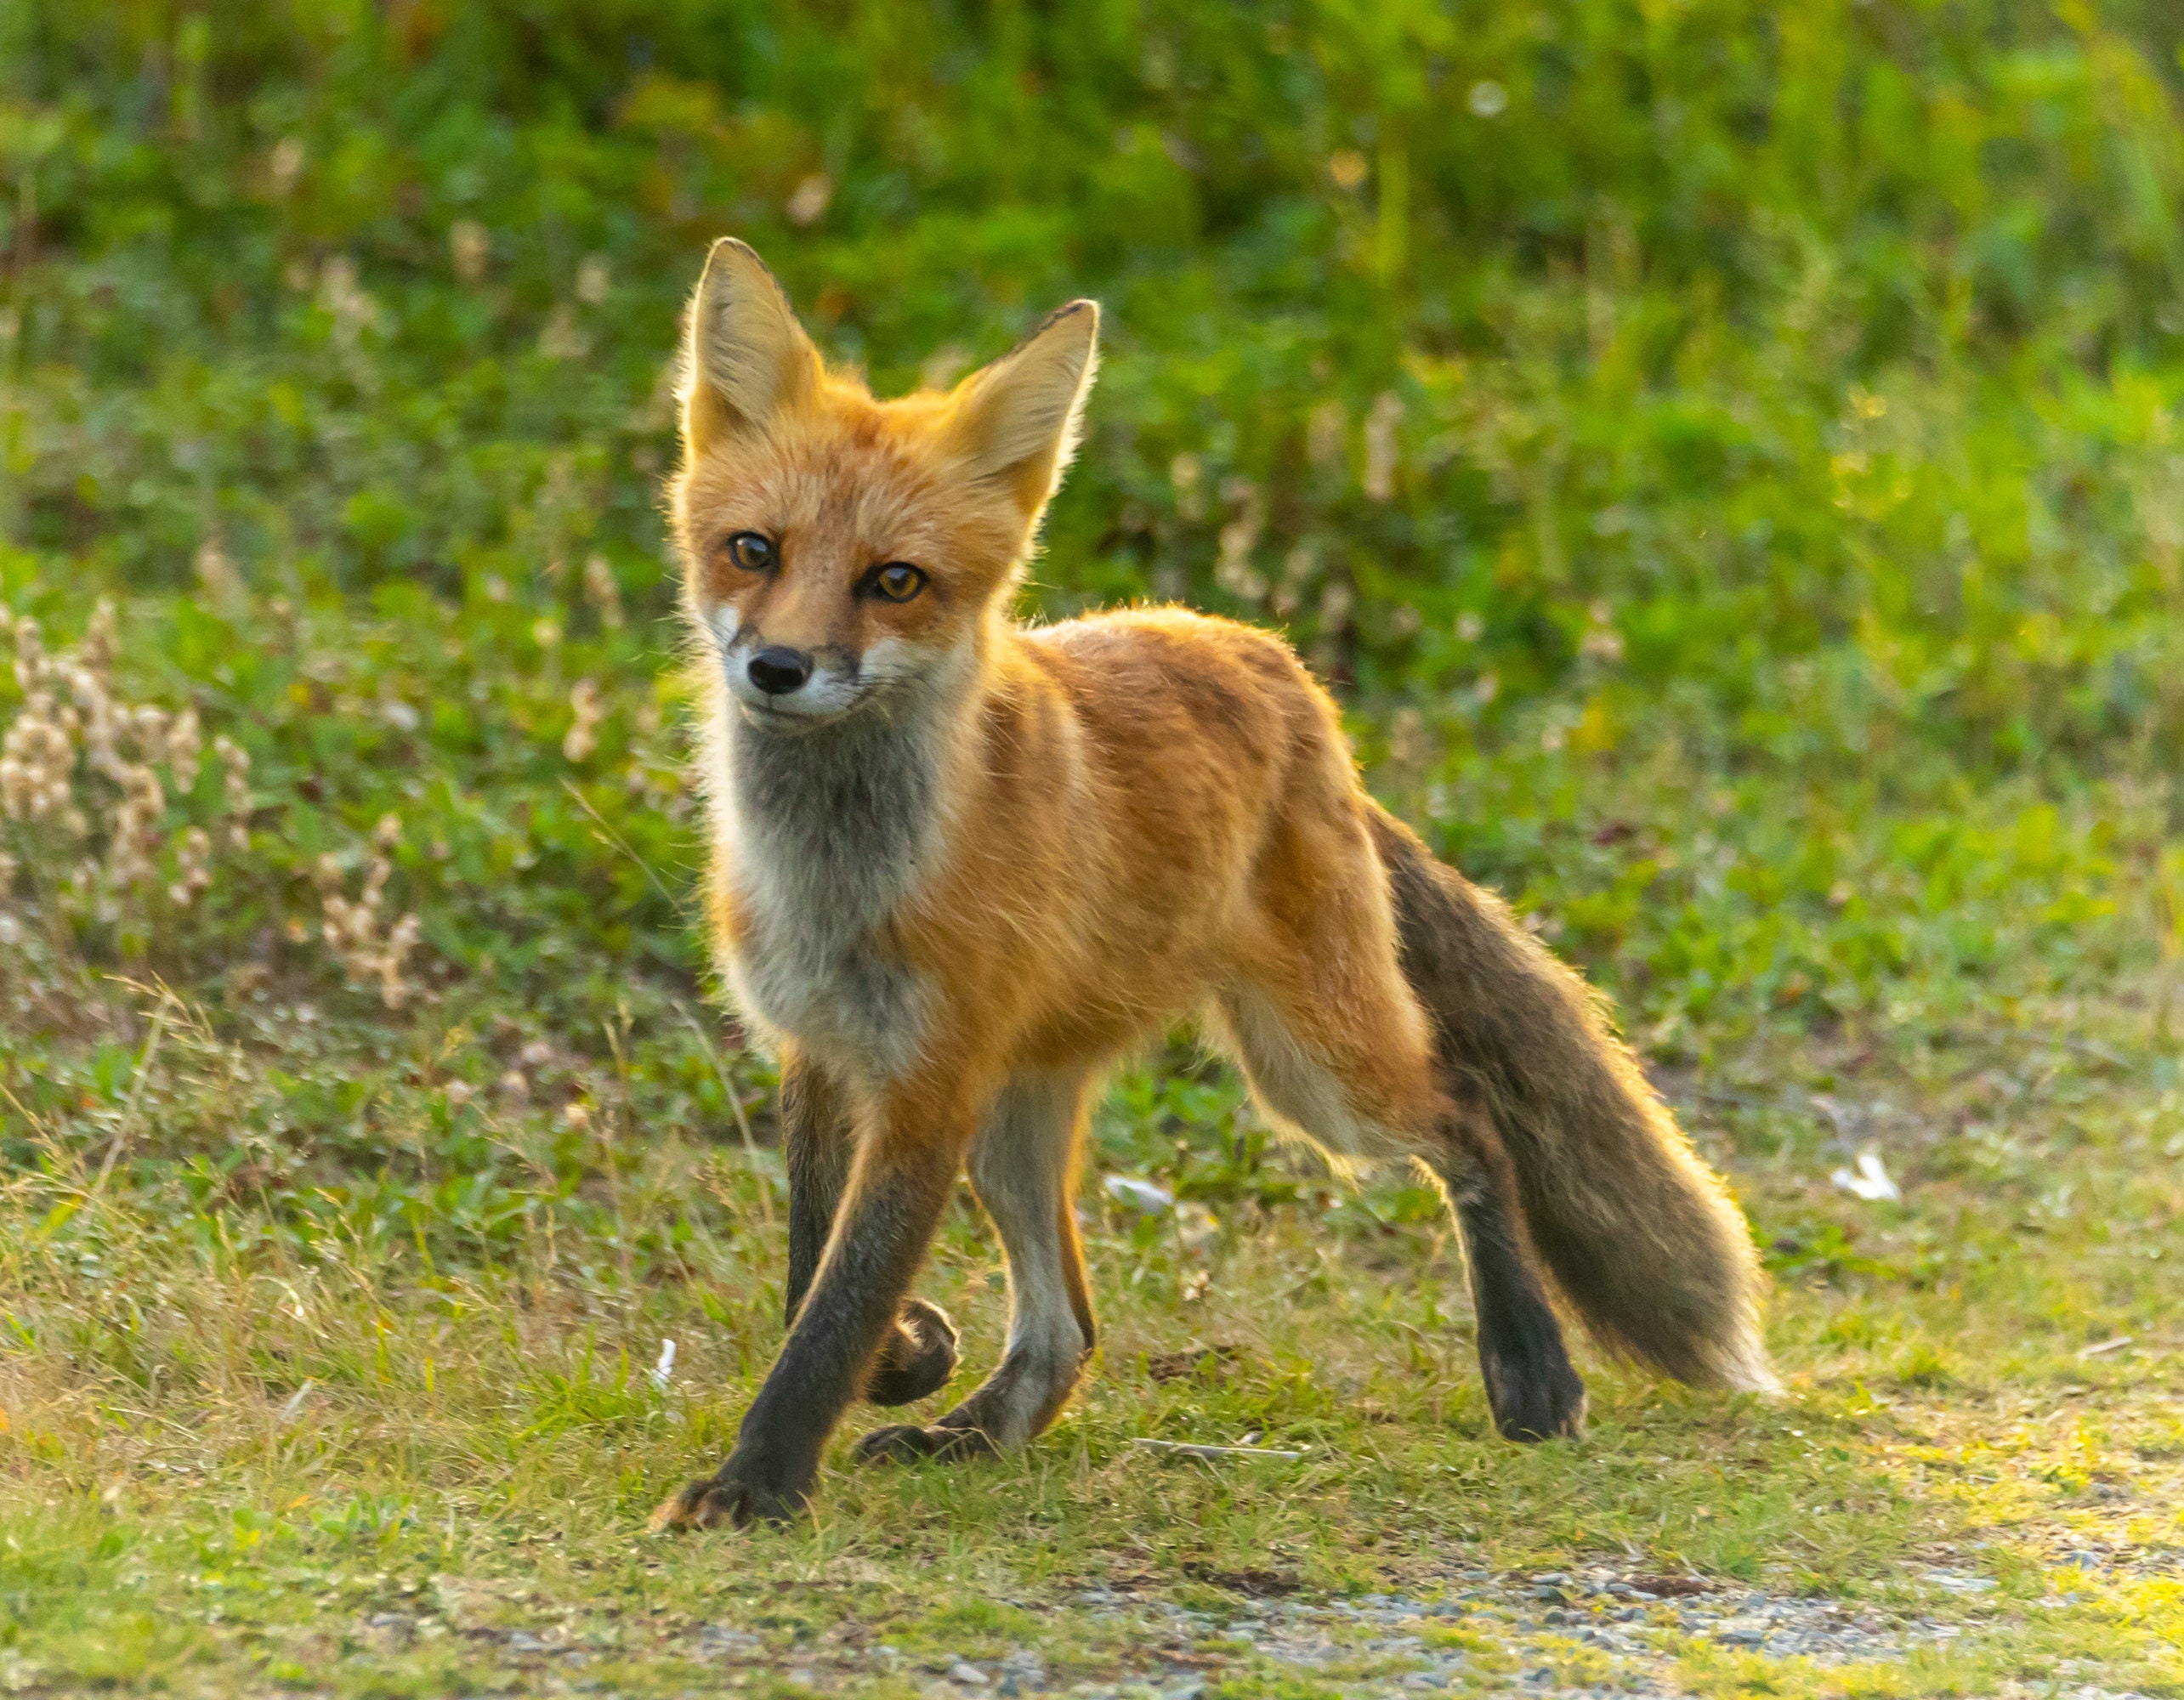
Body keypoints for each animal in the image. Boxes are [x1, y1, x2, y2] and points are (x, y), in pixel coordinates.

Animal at [650, 239, 1777, 1531]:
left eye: (895, 580)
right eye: (754, 549)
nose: (778, 668)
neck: (839, 885)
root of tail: (1271, 661)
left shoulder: (926, 1088)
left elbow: (834, 1313)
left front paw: (758, 1481)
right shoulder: (826, 1058)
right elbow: (810, 1276)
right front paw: (900, 1363)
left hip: (1310, 1070)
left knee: (1468, 1120)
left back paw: (1531, 1370)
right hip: (1022, 1112)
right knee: (1068, 1330)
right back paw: (971, 1434)